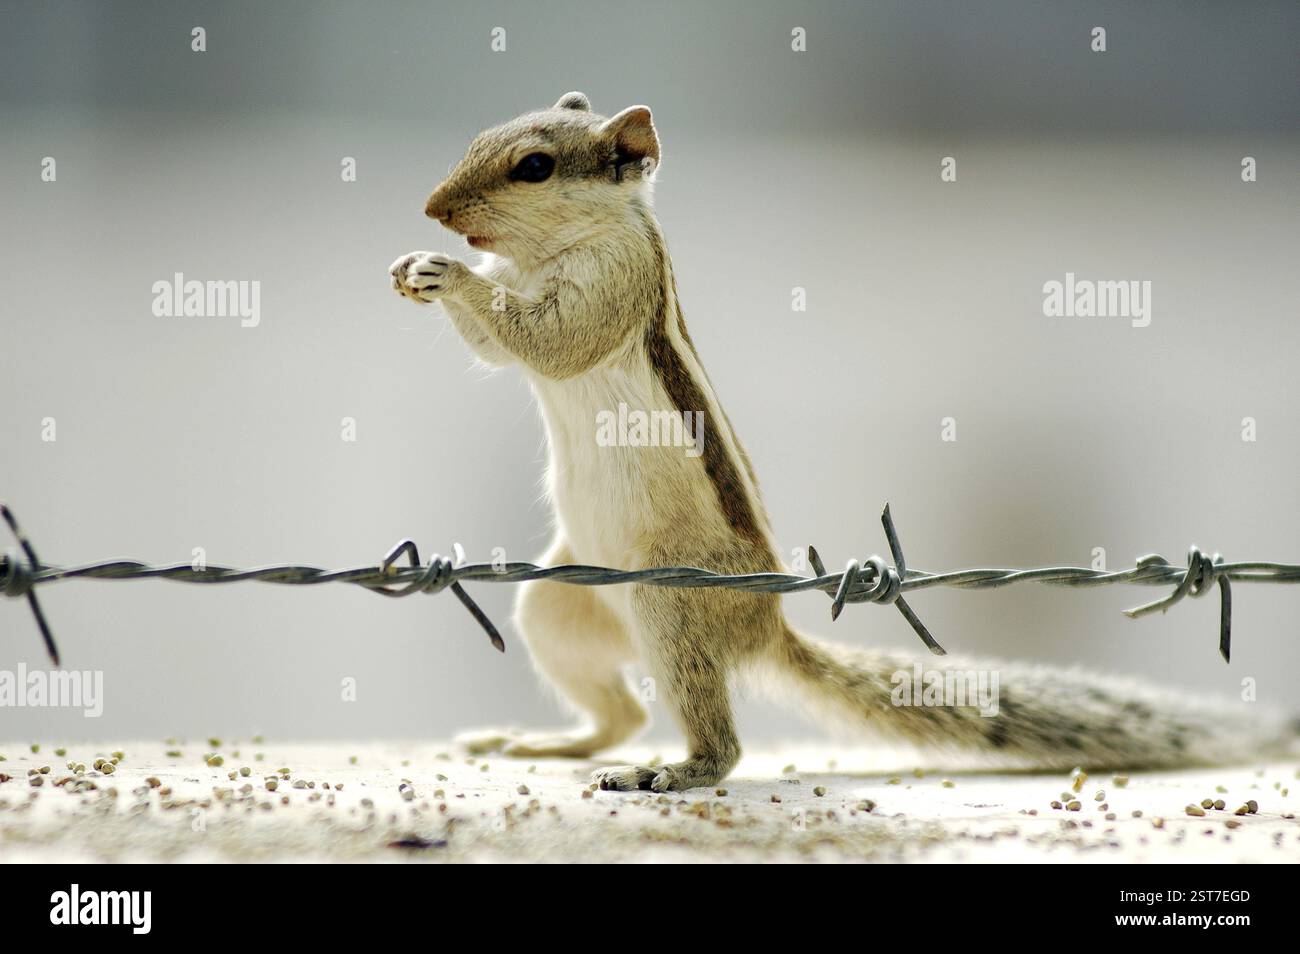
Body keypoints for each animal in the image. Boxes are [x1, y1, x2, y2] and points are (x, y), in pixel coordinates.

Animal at [389, 93, 1294, 791]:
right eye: (482, 140)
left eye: (535, 167)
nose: (434, 210)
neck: (559, 248)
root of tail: (764, 626)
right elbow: (500, 345)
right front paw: (417, 267)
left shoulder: (611, 284)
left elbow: (547, 341)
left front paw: (446, 272)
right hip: (563, 604)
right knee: (620, 710)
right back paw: (545, 743)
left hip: (668, 605)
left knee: (710, 736)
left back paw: (672, 772)